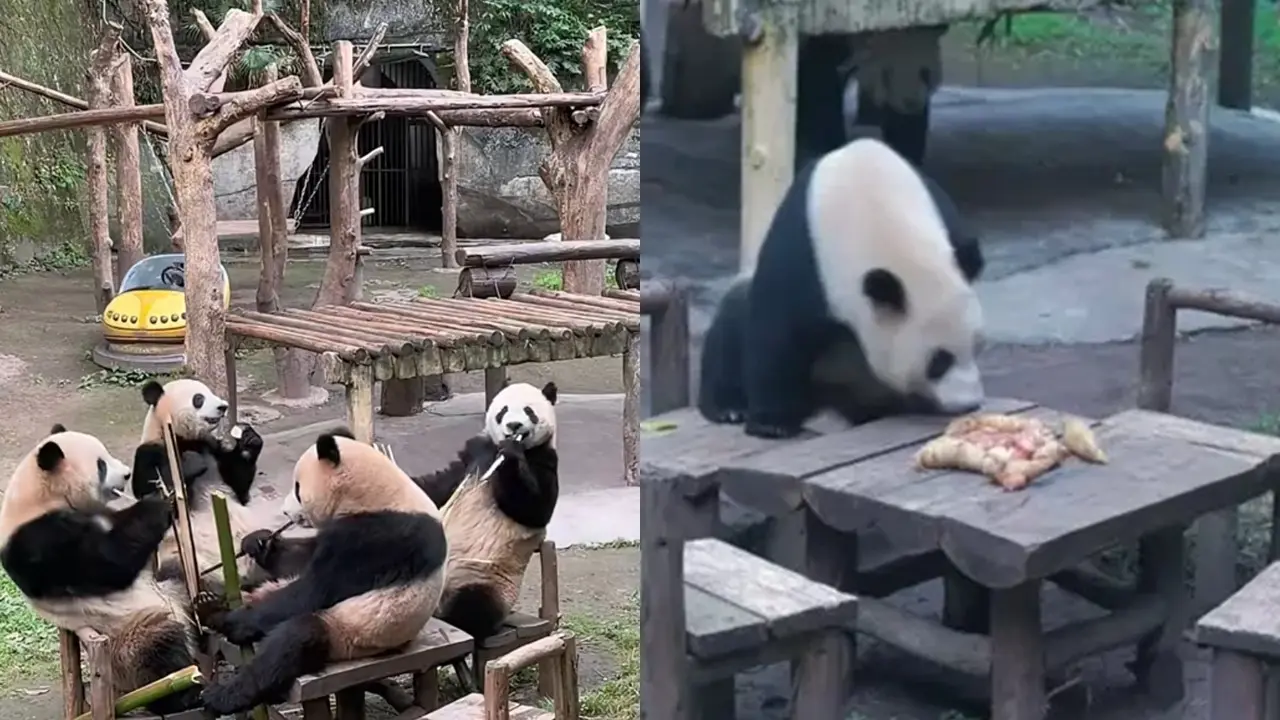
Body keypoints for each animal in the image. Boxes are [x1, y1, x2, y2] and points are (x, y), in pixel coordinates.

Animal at [0, 426, 202, 713]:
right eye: (101, 465)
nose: (126, 473)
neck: (41, 498)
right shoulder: (38, 541)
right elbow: (109, 562)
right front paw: (158, 501)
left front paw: (179, 467)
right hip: (130, 633)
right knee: (159, 653)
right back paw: (182, 694)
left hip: (170, 587)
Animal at [130, 378, 266, 589]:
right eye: (199, 399)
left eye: (210, 392)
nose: (223, 406)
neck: (184, 439)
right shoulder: (151, 452)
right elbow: (151, 496)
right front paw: (191, 463)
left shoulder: (212, 448)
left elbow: (238, 487)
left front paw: (249, 442)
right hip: (181, 555)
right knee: (179, 569)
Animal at [193, 429, 448, 715]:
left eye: (297, 488)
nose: (284, 511)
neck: (377, 493)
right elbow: (302, 559)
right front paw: (258, 543)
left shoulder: (382, 536)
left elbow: (315, 589)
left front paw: (235, 622)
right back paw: (210, 605)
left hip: (354, 633)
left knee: (295, 640)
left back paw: (221, 691)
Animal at [412, 381, 559, 642]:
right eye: (503, 411)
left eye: (529, 411)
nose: (514, 426)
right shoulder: (472, 455)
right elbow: (439, 485)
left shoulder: (545, 458)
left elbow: (535, 507)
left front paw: (510, 455)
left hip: (487, 578)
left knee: (475, 606)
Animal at [698, 137, 986, 439]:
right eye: (938, 361)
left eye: (977, 345)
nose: (967, 403)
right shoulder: (804, 255)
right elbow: (776, 331)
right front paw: (771, 424)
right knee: (731, 326)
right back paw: (729, 408)